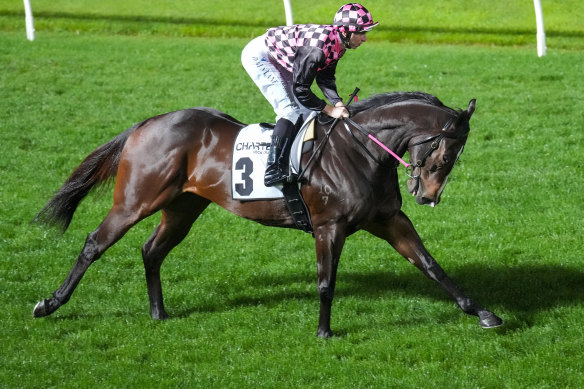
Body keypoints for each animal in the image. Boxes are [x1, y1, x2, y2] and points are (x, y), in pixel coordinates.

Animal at [33, 91, 502, 336]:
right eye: (447, 153)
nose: (428, 197)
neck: (359, 151)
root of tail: (147, 123)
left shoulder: (388, 219)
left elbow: (431, 265)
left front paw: (483, 312)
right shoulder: (328, 226)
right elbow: (326, 282)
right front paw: (324, 331)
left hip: (184, 206)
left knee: (152, 250)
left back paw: (158, 312)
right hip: (135, 200)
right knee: (94, 244)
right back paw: (50, 303)